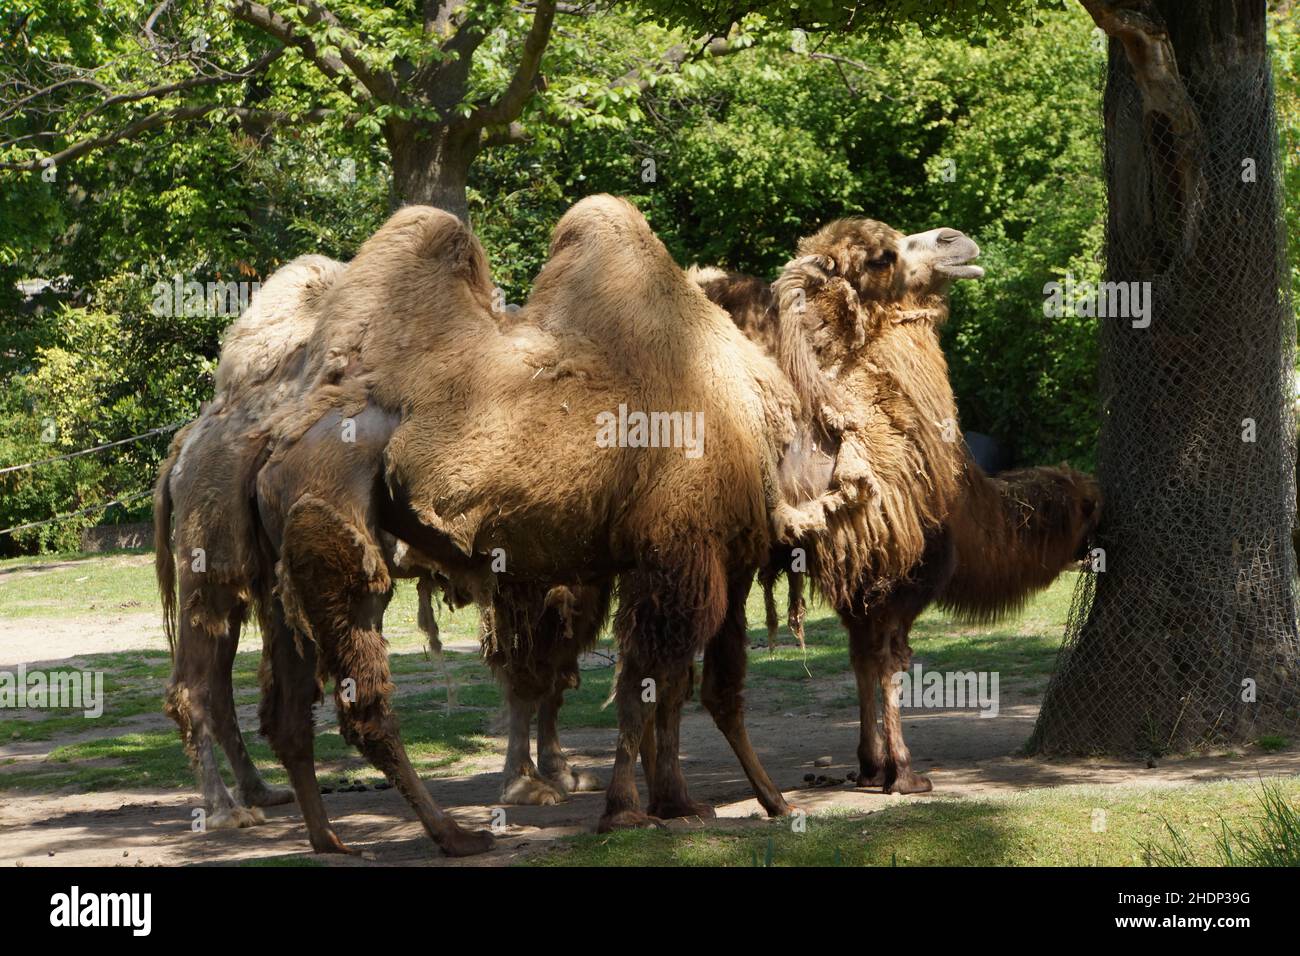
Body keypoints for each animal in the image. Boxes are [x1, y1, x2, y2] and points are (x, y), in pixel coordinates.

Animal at [692, 222, 1101, 792]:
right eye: (883, 257)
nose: (956, 239)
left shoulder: (859, 577)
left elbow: (862, 657)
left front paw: (870, 765)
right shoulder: (904, 568)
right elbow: (889, 661)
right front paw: (904, 774)